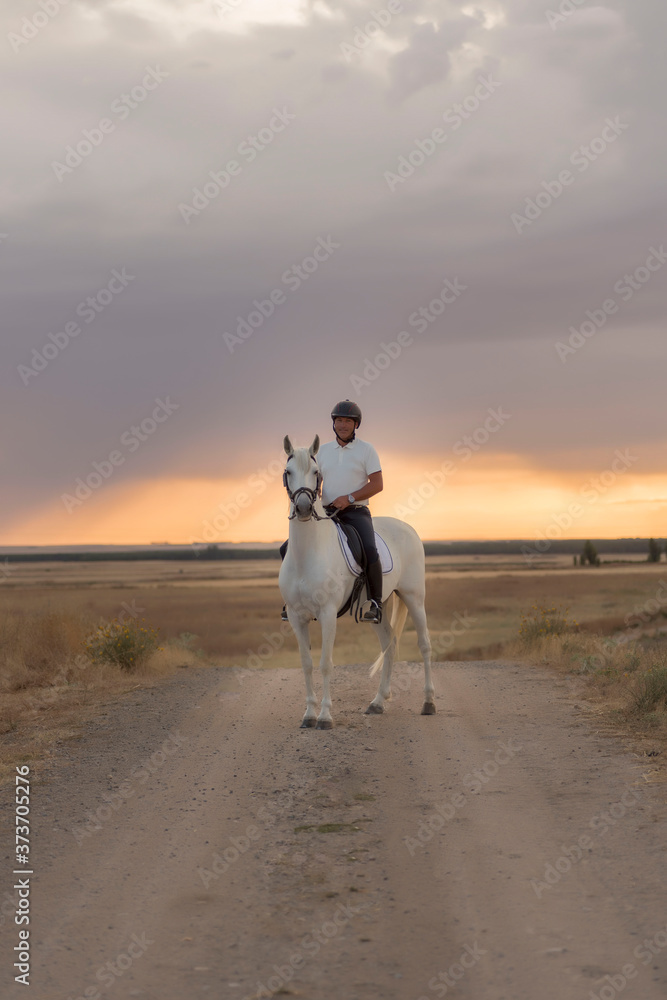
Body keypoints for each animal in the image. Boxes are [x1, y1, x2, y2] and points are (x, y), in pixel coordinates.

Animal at [278, 434, 436, 729]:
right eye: (288, 472)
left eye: (315, 472)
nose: (303, 508)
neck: (308, 553)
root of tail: (407, 528)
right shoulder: (295, 616)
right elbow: (306, 663)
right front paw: (308, 715)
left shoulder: (327, 614)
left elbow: (325, 663)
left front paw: (325, 717)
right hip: (378, 606)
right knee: (389, 644)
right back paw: (378, 702)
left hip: (414, 598)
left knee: (424, 645)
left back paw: (429, 702)